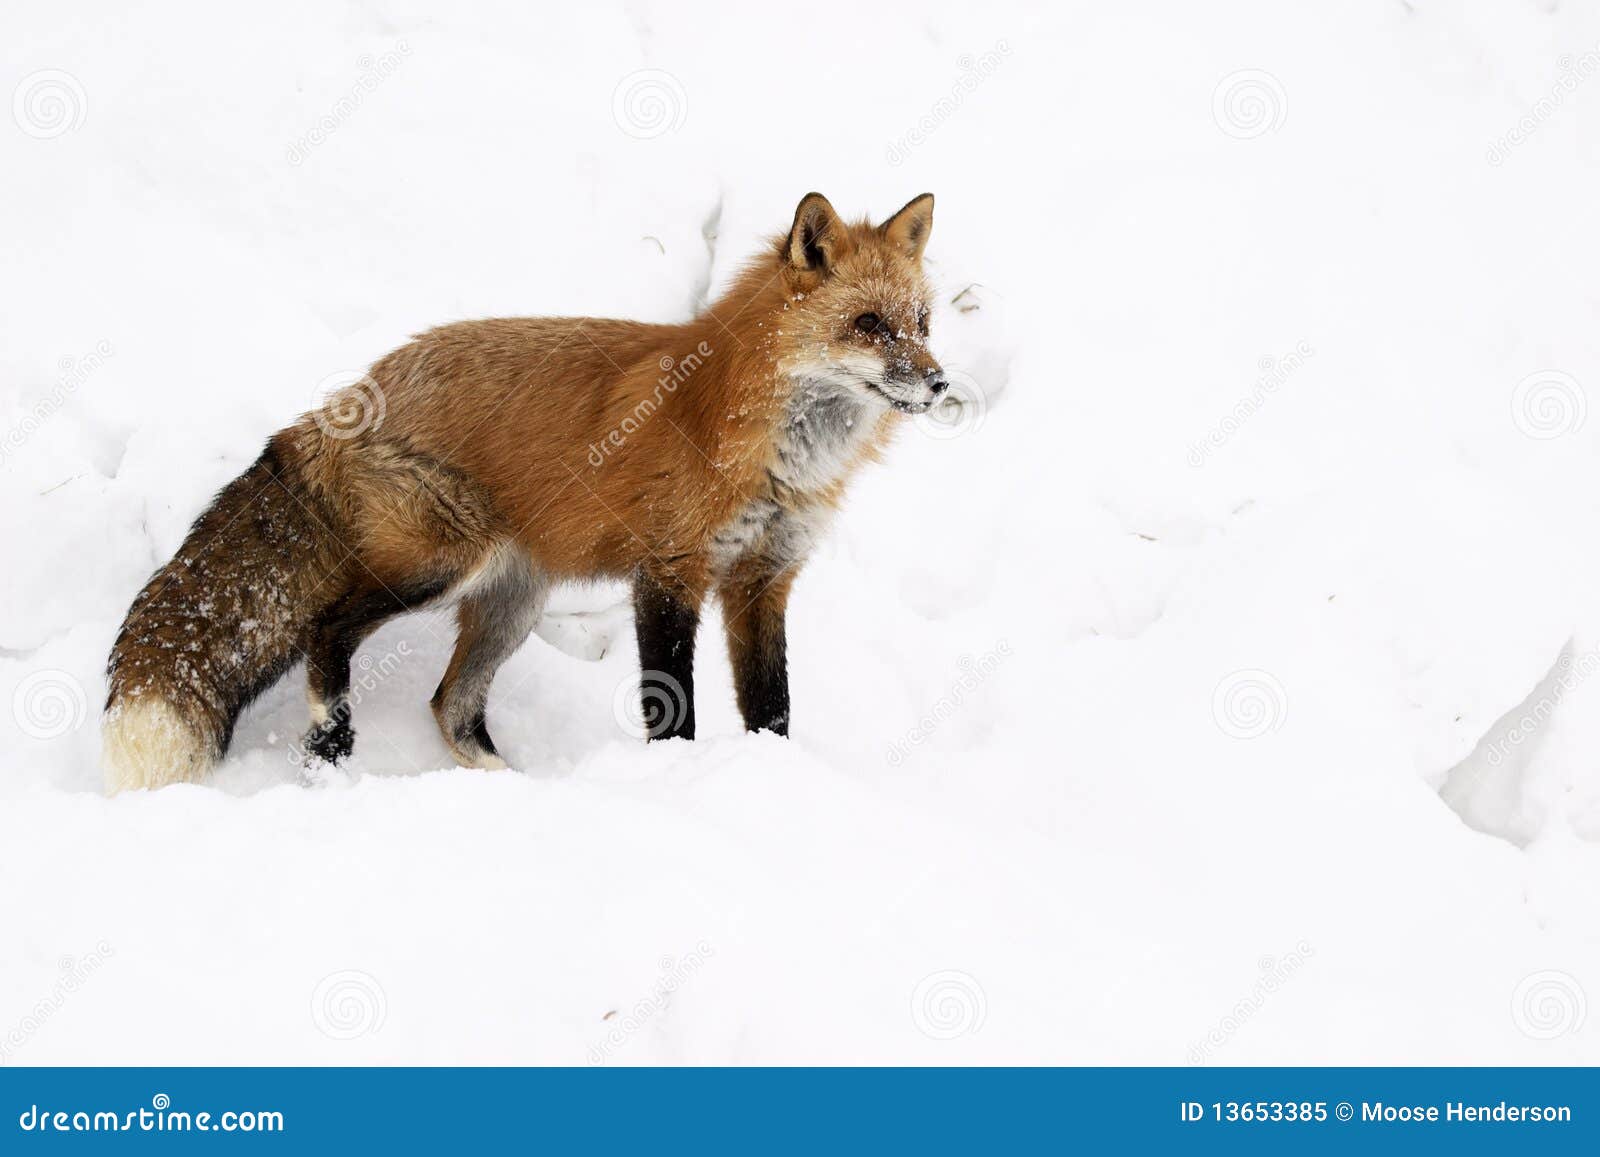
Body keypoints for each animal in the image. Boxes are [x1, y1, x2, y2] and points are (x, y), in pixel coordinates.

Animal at [102, 192, 948, 792]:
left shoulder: (762, 578)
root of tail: (353, 392)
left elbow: (772, 706)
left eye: (922, 321)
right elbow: (672, 700)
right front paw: (676, 780)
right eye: (869, 324)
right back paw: (332, 741)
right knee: (328, 628)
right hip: (442, 563)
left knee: (450, 706)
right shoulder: (669, 569)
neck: (768, 449)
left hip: (513, 599)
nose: (940, 382)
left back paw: (508, 787)